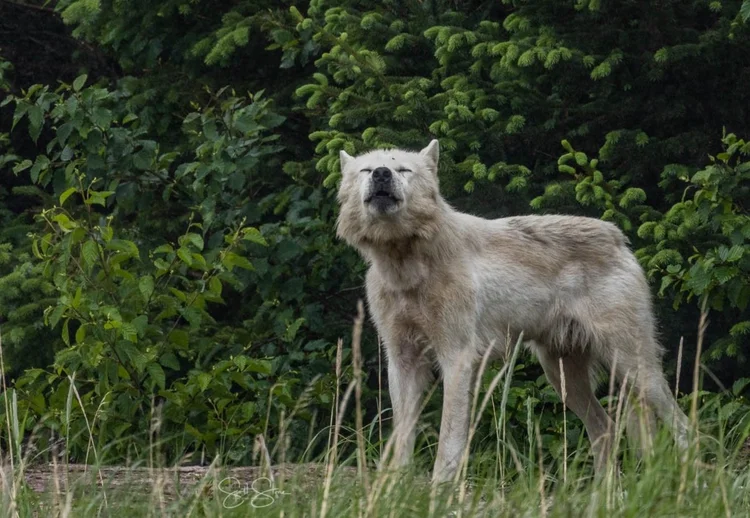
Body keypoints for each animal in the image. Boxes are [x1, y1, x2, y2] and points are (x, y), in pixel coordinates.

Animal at [336, 140, 690, 483]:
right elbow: (402, 438)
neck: (406, 265)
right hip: (564, 377)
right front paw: (391, 487)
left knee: (683, 425)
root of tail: (620, 239)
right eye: (367, 169)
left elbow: (449, 440)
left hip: (634, 368)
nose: (381, 174)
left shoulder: (457, 358)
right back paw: (604, 496)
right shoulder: (402, 360)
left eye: (403, 170)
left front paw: (440, 489)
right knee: (607, 430)